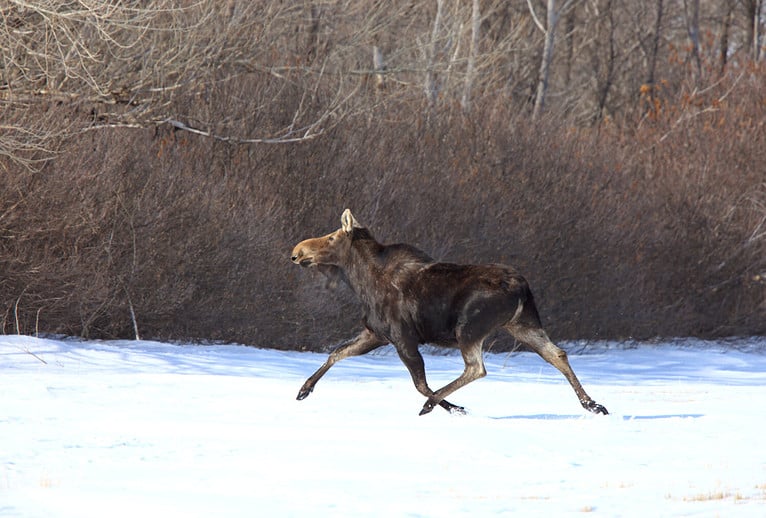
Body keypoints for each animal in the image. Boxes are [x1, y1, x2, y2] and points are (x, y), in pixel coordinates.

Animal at [291, 209, 608, 416]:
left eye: (331, 238)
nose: (297, 251)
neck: (360, 282)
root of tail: (522, 288)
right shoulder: (375, 333)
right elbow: (337, 353)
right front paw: (304, 389)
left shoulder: (402, 337)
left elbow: (420, 384)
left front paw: (449, 407)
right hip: (523, 324)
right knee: (557, 354)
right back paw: (593, 404)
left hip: (469, 328)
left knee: (477, 368)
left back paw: (433, 405)